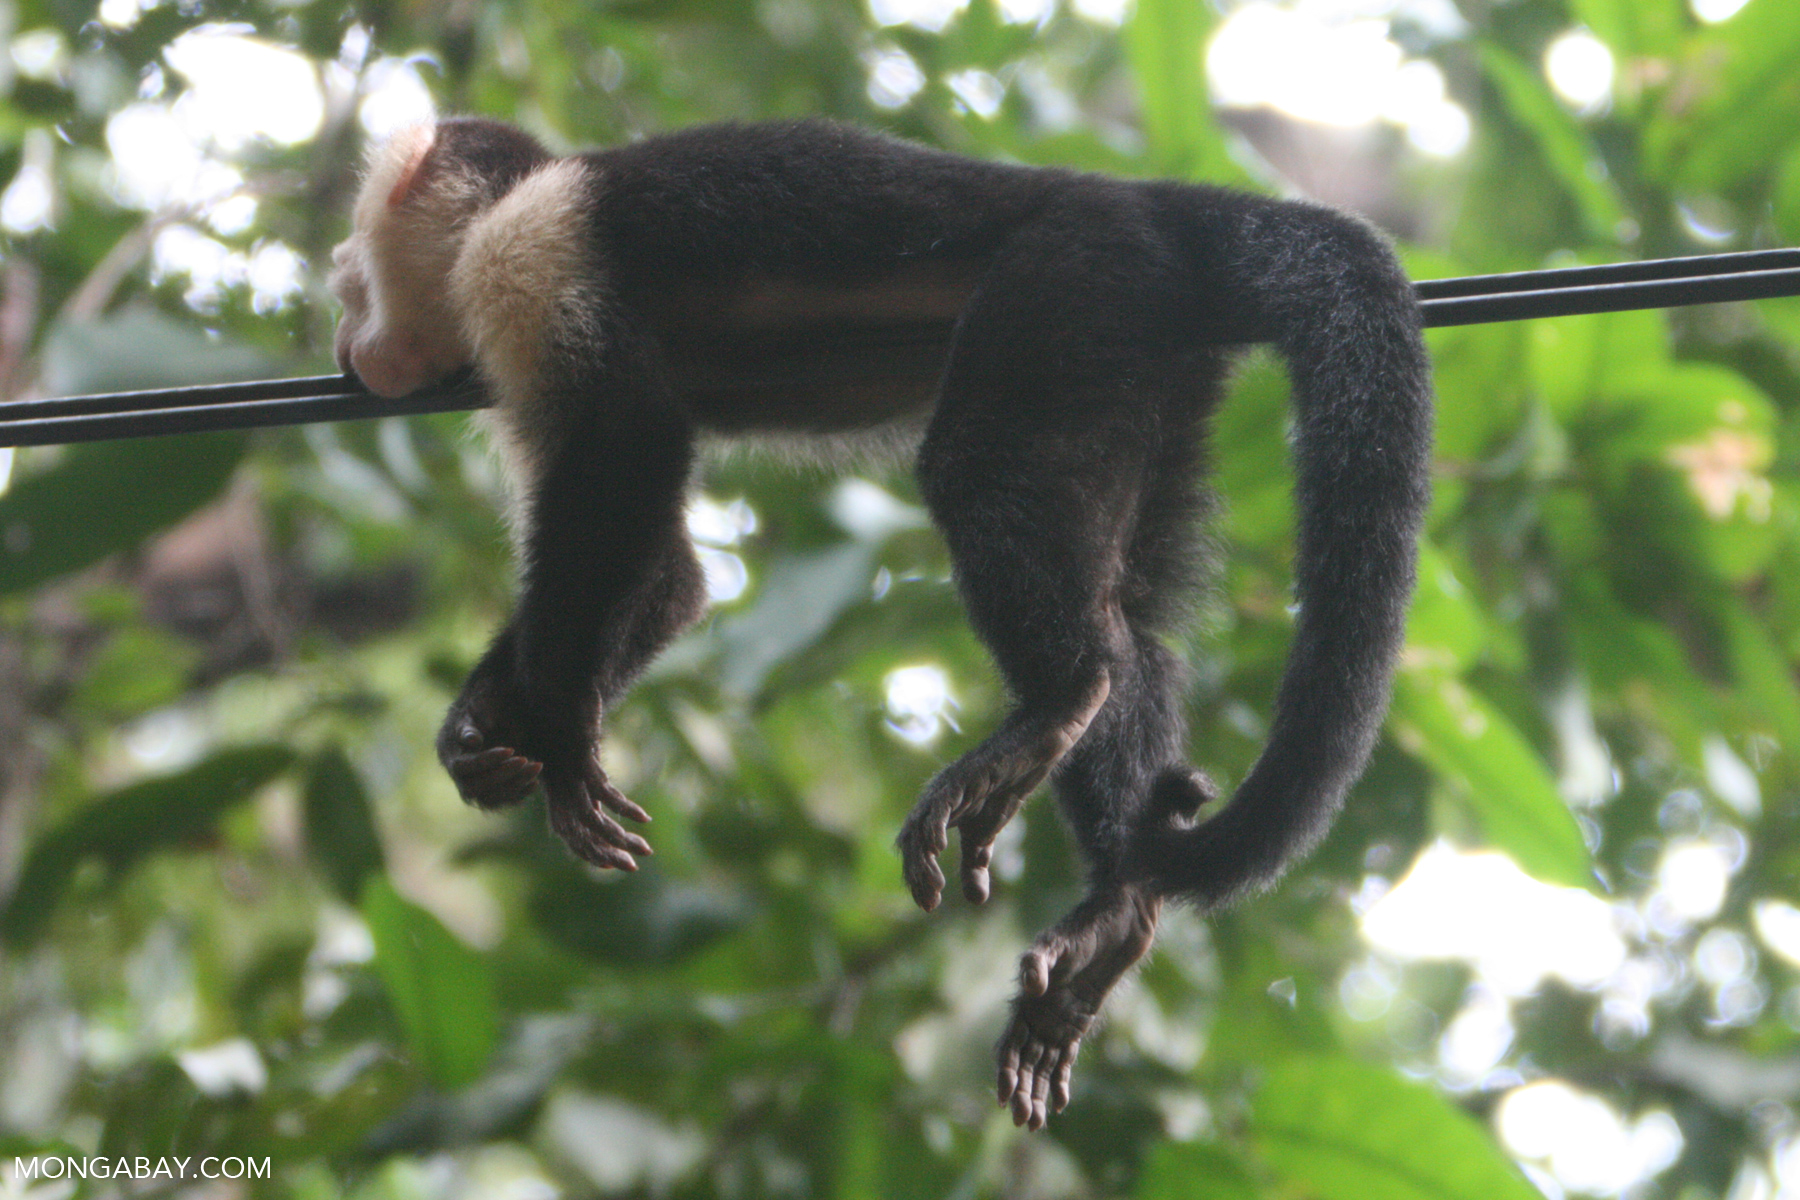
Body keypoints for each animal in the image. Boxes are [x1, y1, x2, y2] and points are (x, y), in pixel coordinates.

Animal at [328, 116, 1433, 1130]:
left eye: (351, 277)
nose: (341, 312)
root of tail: (1133, 198)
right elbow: (673, 580)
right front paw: (484, 725)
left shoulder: (527, 253)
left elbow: (626, 447)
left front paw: (558, 738)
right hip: (1158, 353)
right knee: (1136, 621)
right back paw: (1114, 908)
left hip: (1080, 278)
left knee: (981, 469)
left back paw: (1065, 694)